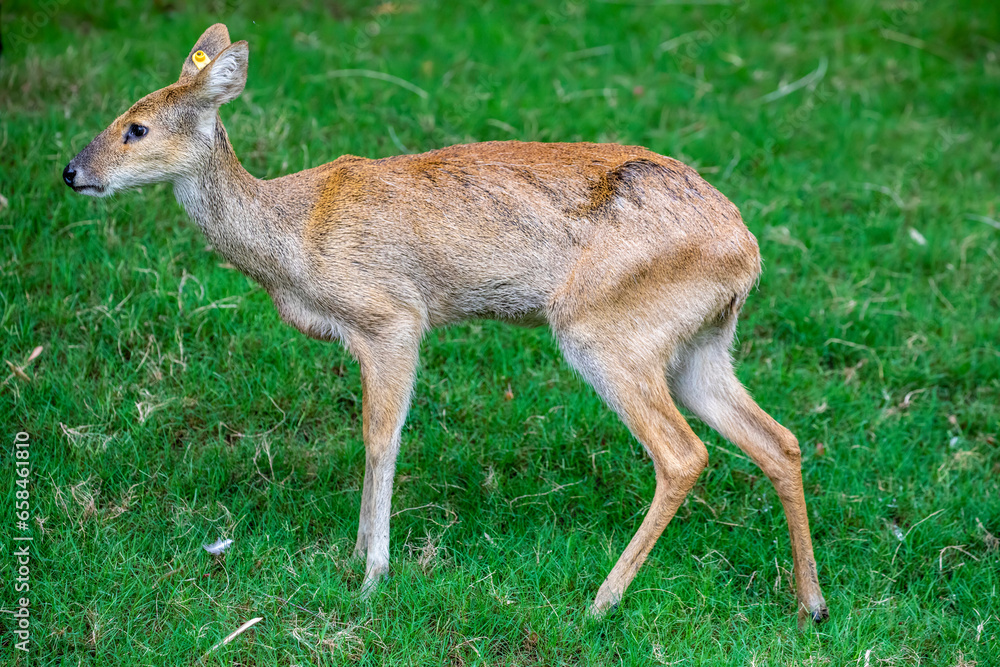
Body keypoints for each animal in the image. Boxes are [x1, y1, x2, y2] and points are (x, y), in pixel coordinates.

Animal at [63, 24, 828, 624]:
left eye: (137, 127)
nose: (72, 171)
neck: (291, 238)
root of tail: (746, 250)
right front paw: (357, 560)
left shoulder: (392, 318)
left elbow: (381, 436)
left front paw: (371, 574)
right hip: (699, 345)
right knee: (778, 440)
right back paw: (810, 604)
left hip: (604, 331)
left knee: (683, 452)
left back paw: (600, 601)